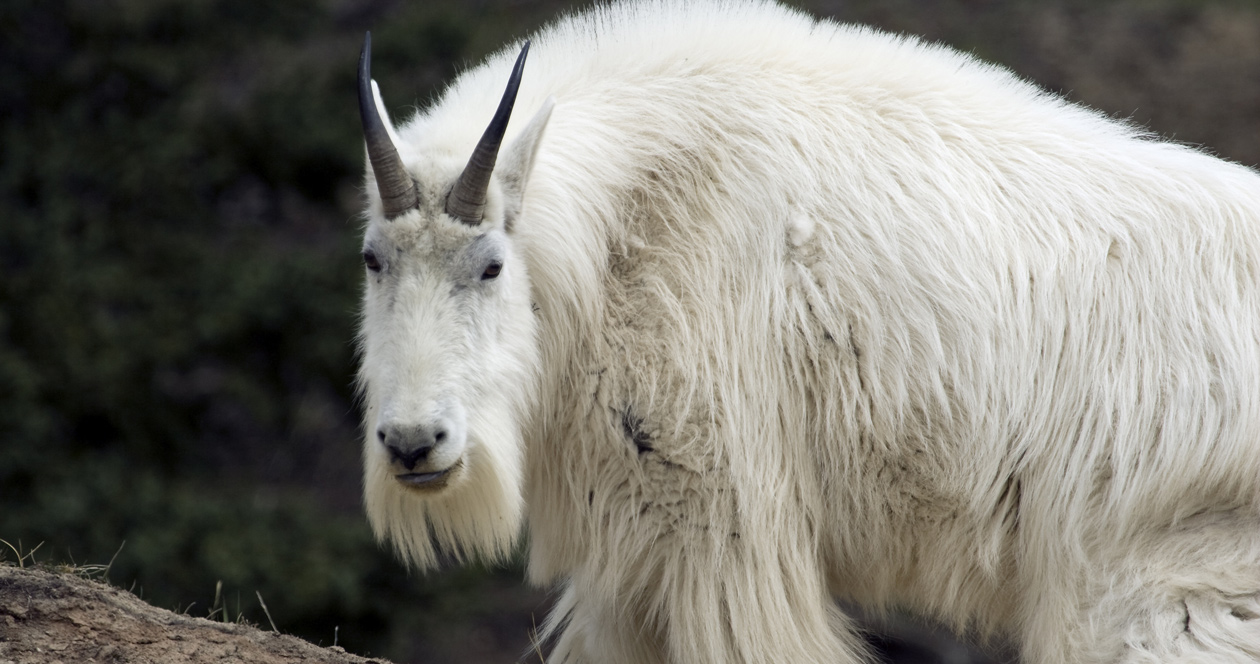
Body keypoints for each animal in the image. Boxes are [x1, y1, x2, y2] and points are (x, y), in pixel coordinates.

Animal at [352, 1, 1260, 662]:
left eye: (491, 266)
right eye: (373, 259)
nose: (414, 443)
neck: (625, 224)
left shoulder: (721, 524)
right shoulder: (630, 549)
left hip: (1160, 583)